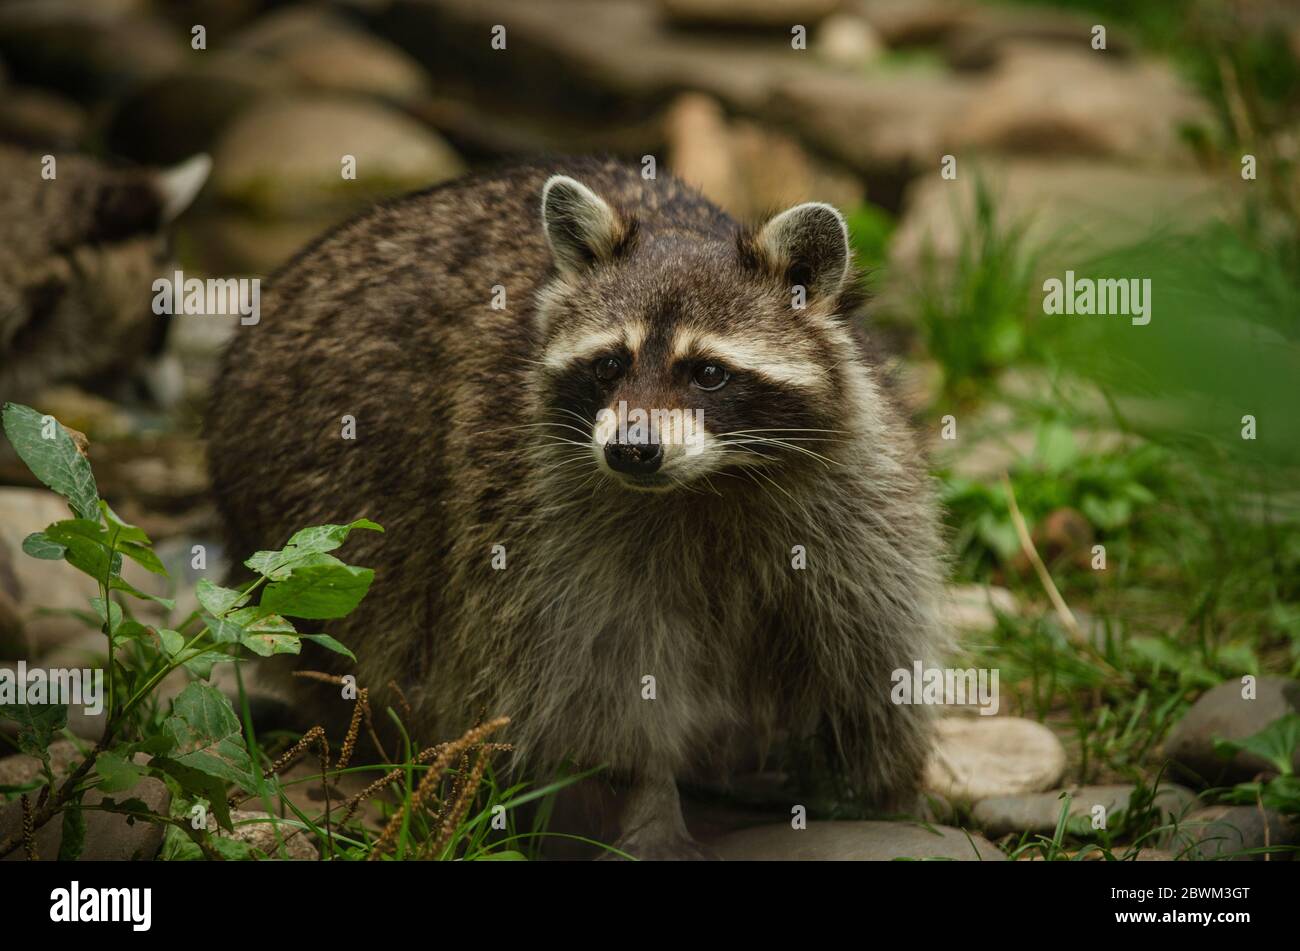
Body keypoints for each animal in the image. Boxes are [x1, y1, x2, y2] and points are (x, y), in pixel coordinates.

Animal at [207, 157, 948, 859]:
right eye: (609, 365)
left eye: (708, 372)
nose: (631, 451)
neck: (704, 487)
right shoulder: (533, 523)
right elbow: (598, 677)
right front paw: (649, 807)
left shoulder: (852, 500)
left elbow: (864, 648)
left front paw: (880, 787)